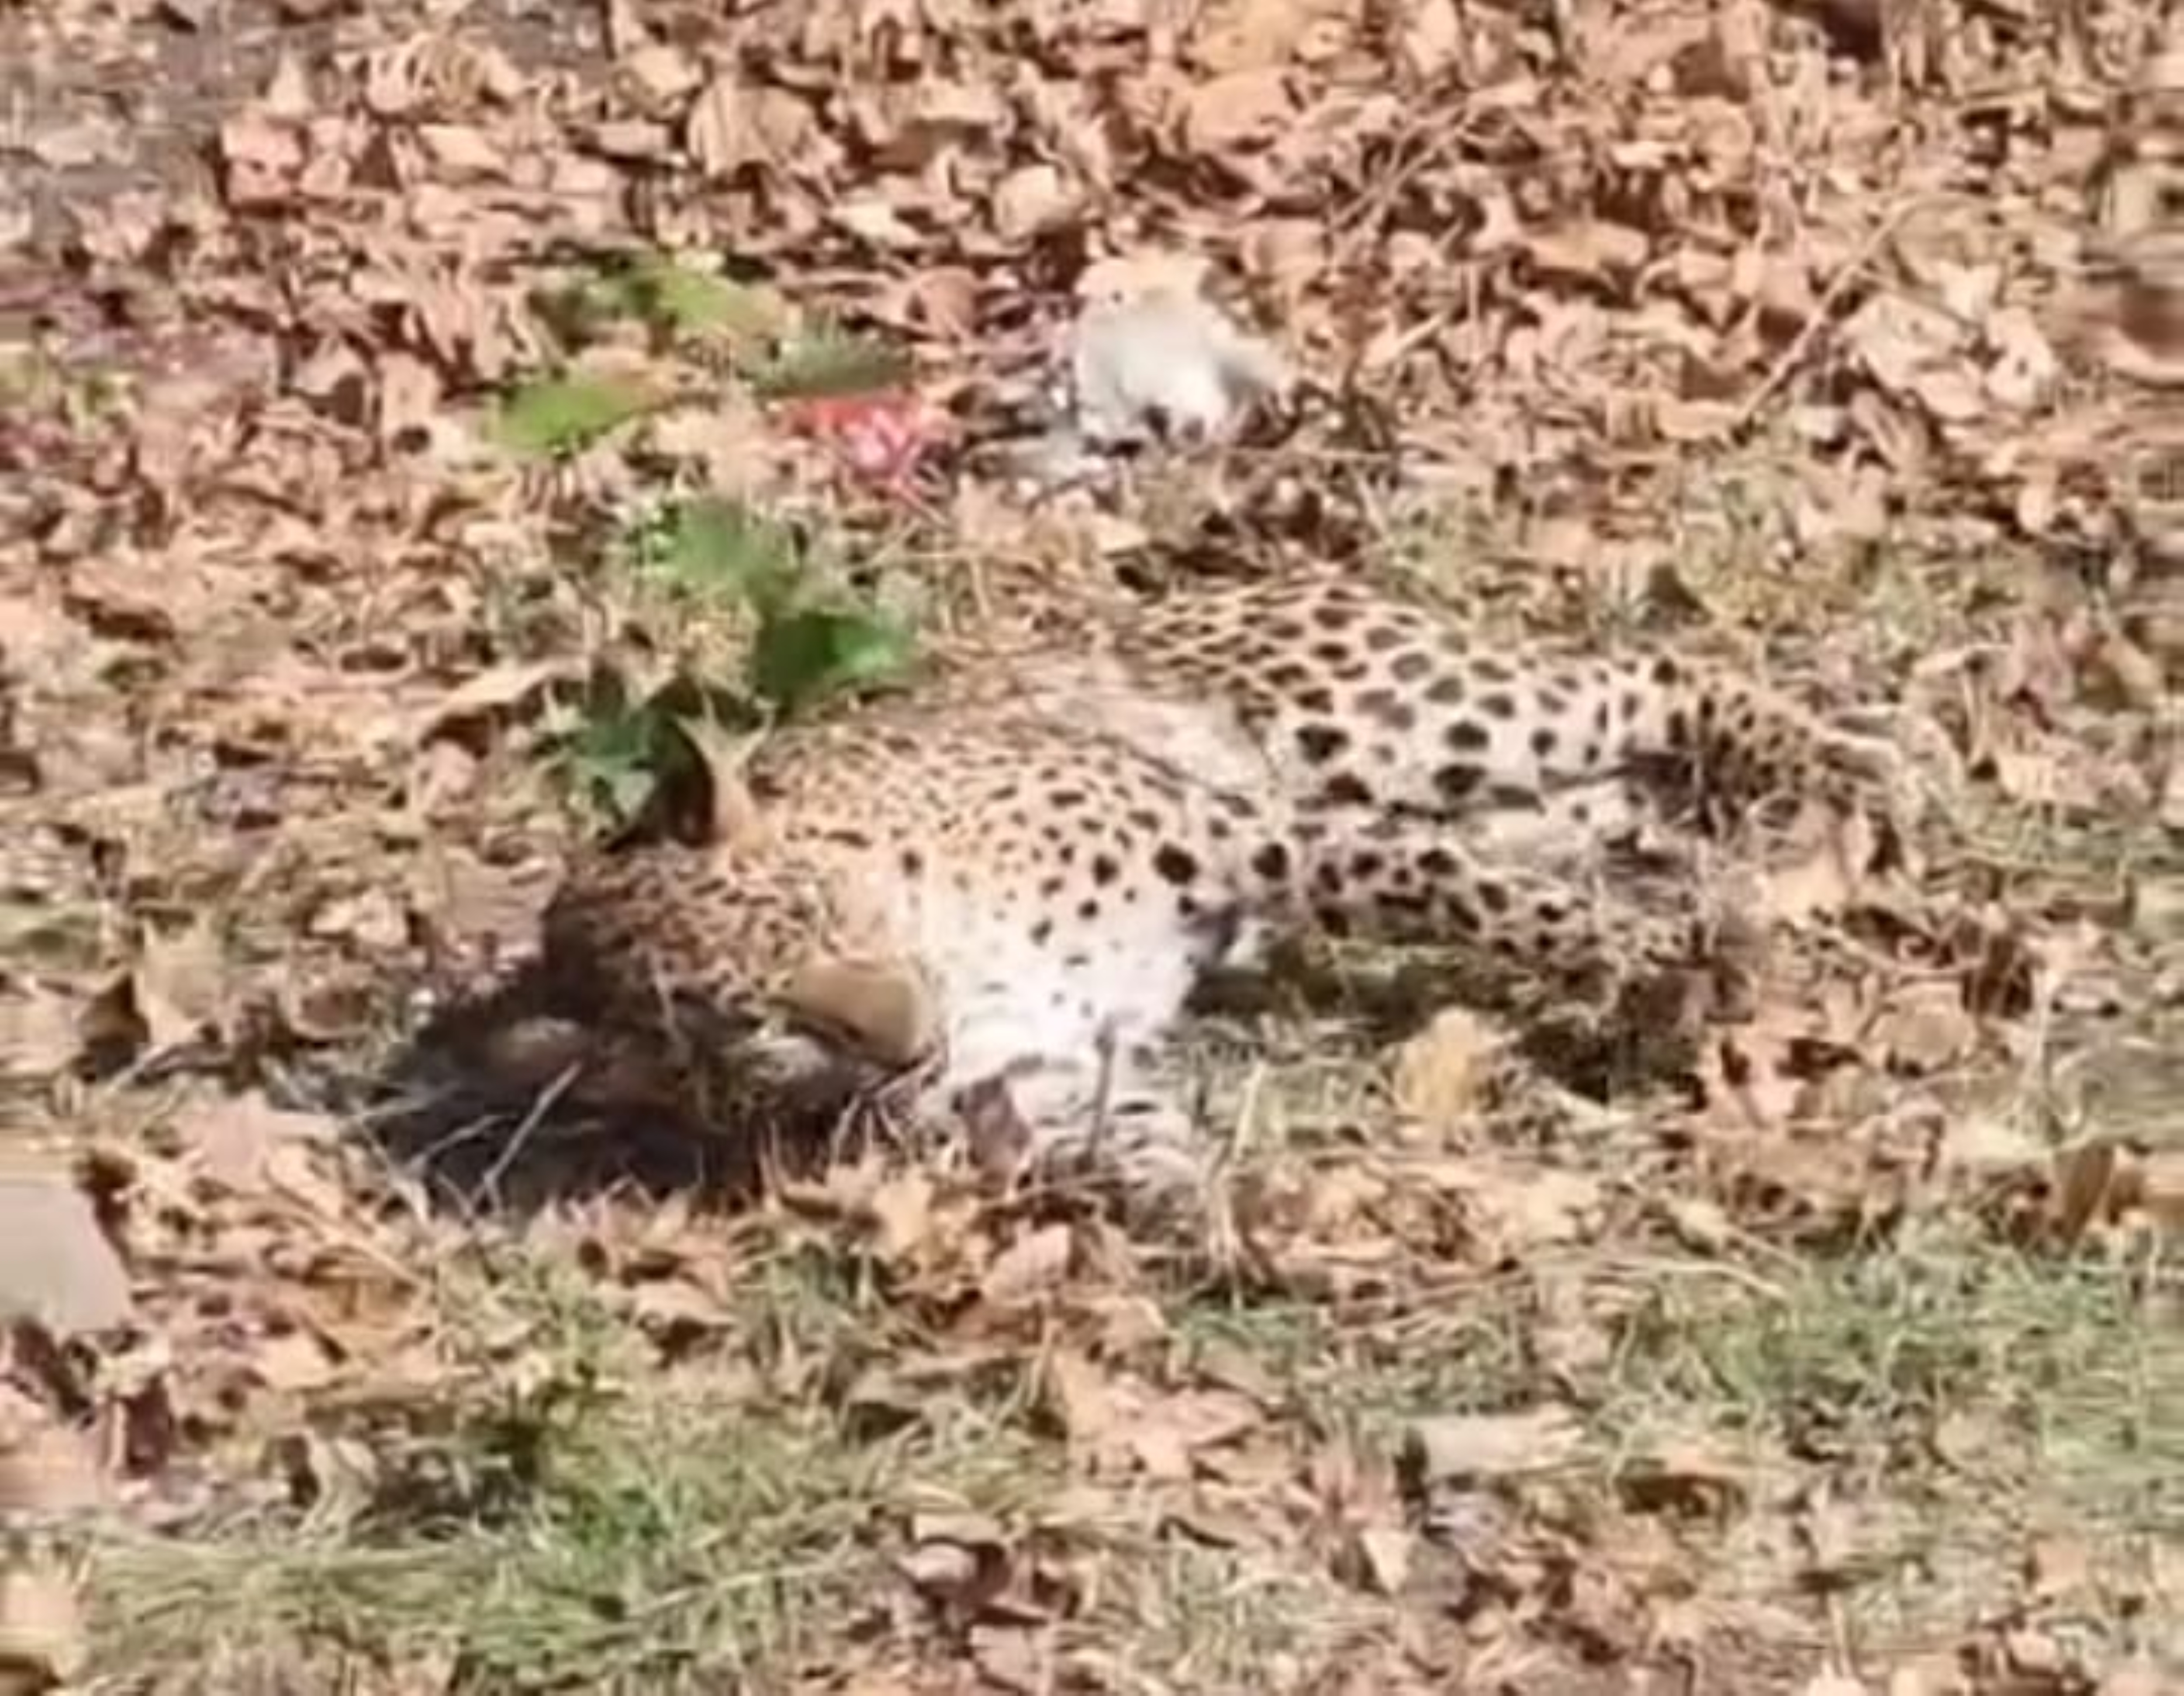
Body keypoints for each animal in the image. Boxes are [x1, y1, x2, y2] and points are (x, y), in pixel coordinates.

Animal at [537, 569, 1898, 1204]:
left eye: (830, 912)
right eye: (762, 1028)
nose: (906, 1030)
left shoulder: (1236, 836)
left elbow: (1463, 896)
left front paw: (1650, 972)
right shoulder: (1039, 1076)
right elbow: (1134, 1149)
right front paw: (1250, 1218)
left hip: (1396, 716)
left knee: (1641, 676)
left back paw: (1832, 765)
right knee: (1564, 802)